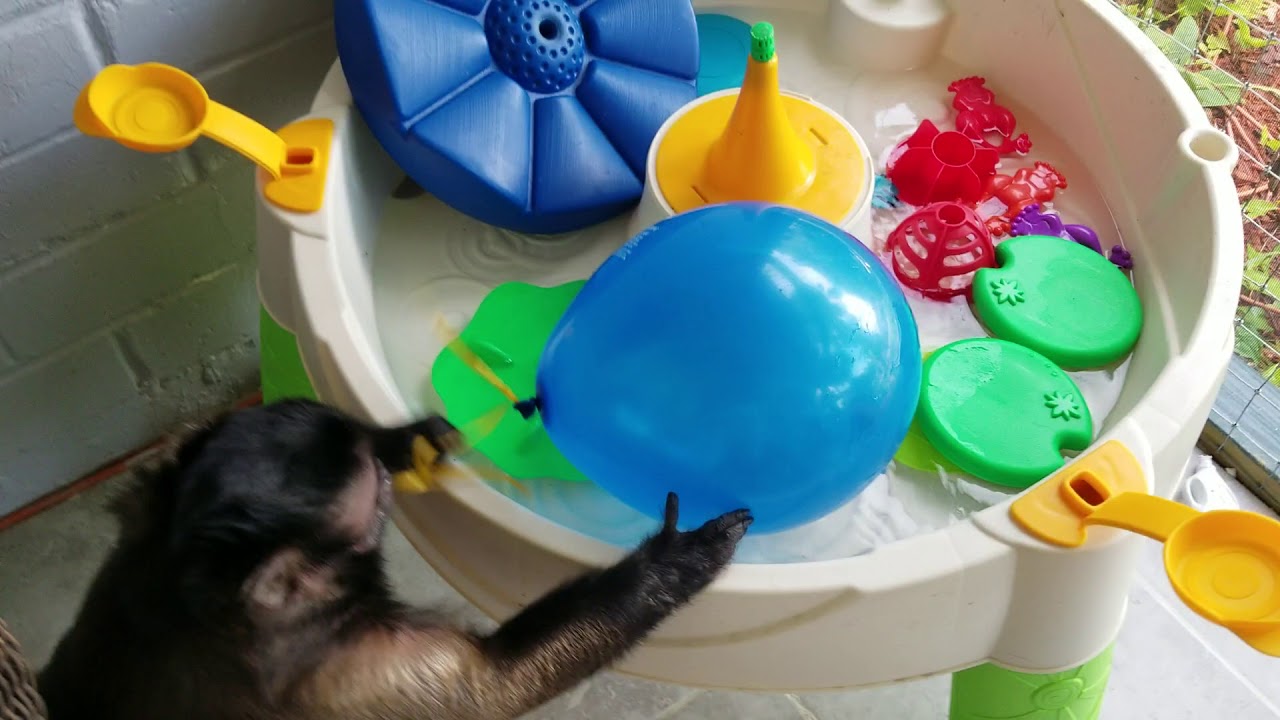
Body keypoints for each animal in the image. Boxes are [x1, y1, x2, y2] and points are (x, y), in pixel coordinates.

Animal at [36, 398, 752, 720]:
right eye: (375, 498)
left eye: (379, 477)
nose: (384, 468)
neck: (207, 608)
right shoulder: (366, 673)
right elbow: (500, 685)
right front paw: (678, 559)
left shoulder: (139, 534)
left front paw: (414, 439)